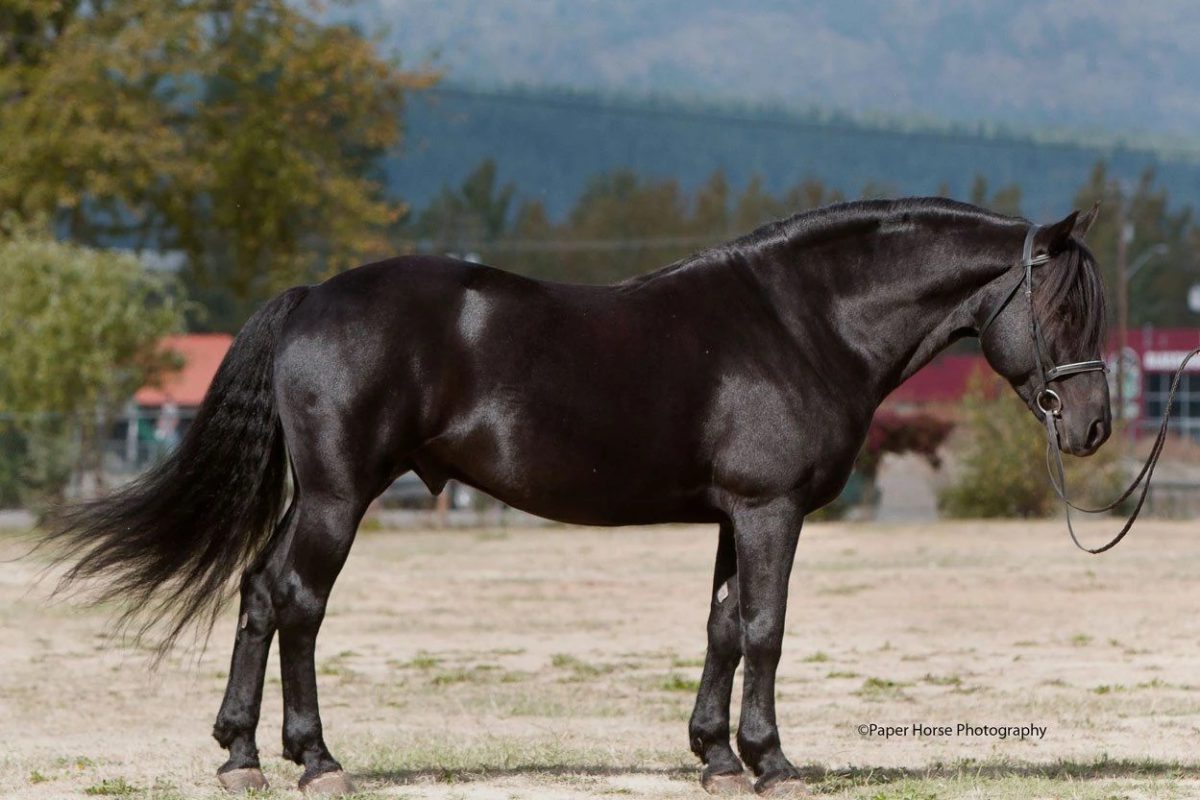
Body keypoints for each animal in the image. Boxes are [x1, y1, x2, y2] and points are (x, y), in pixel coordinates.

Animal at [46, 197, 1111, 797]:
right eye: (1062, 308)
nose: (1095, 426)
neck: (803, 323)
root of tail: (313, 297)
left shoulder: (734, 516)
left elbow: (724, 626)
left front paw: (715, 758)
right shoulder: (769, 511)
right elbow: (766, 629)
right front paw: (772, 763)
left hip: (316, 499)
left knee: (260, 595)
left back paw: (240, 756)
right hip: (340, 497)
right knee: (299, 603)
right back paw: (315, 761)